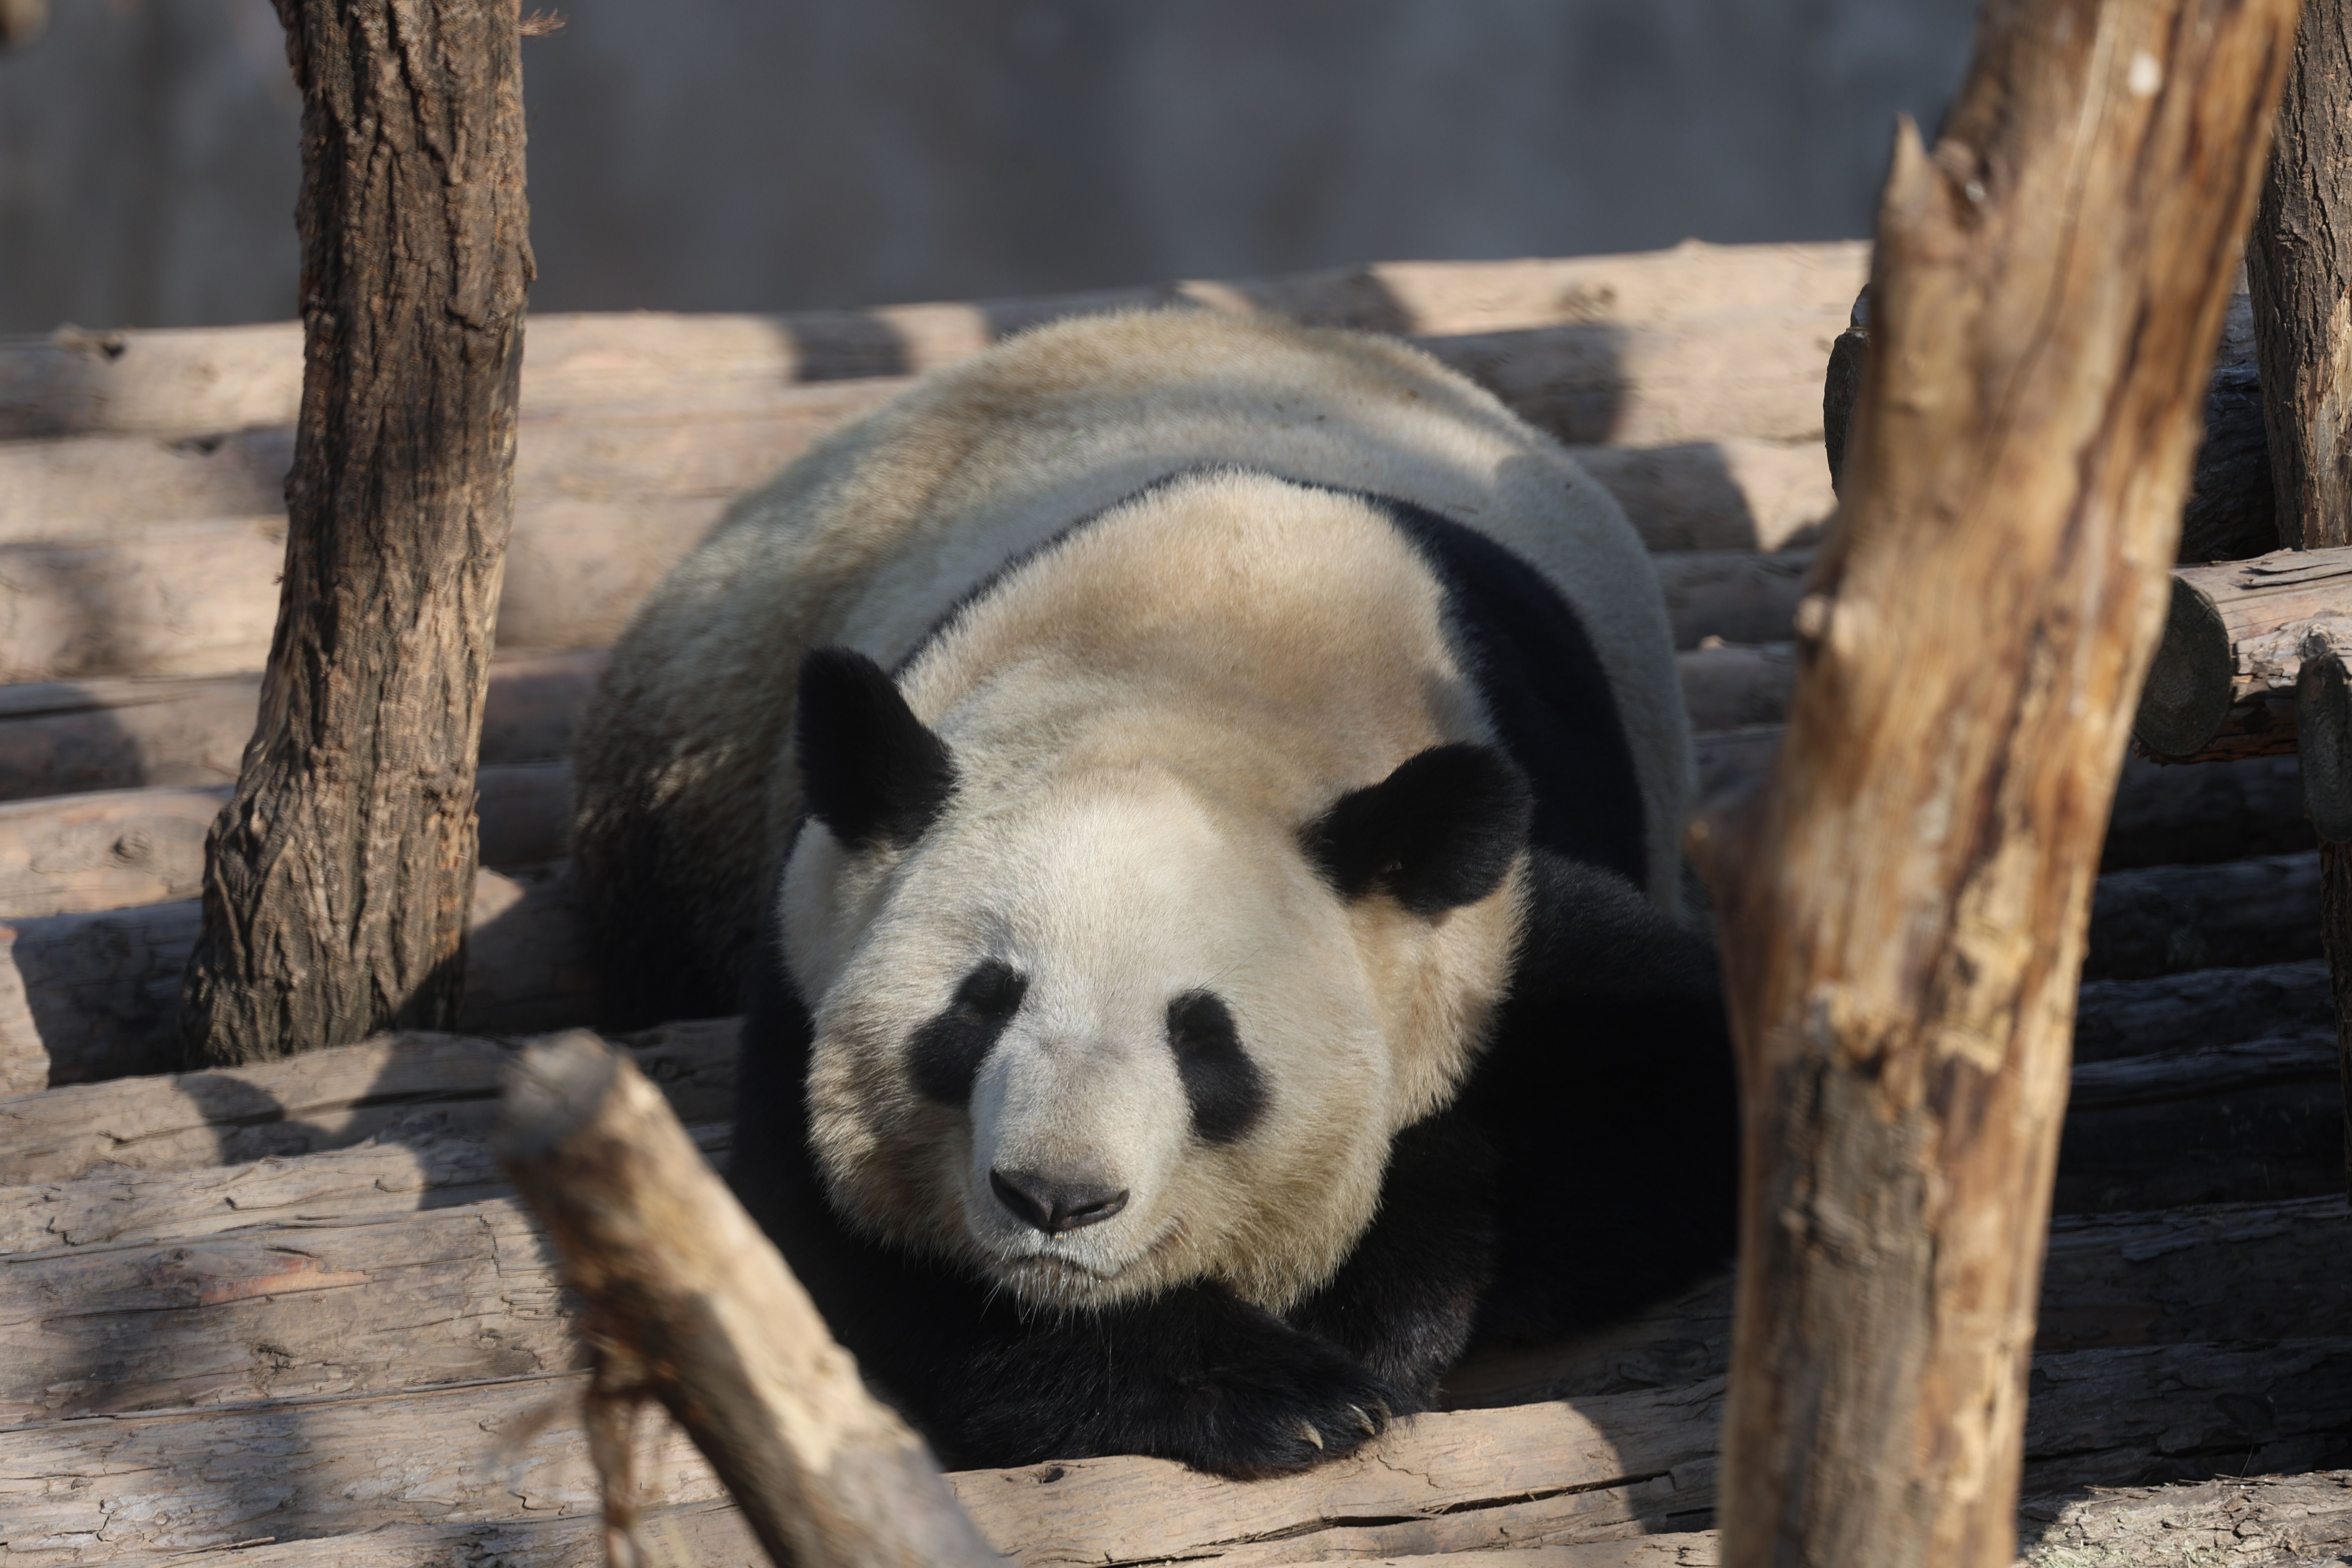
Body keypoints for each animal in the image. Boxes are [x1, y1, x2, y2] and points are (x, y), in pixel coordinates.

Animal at [571, 308, 1740, 1479]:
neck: (1192, 679)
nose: (1055, 1198)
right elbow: (843, 1240)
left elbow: (1663, 1099)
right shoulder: (815, 939)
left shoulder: (1496, 927)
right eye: (980, 1005)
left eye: (1204, 1036)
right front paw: (1279, 1392)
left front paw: (1362, 1303)